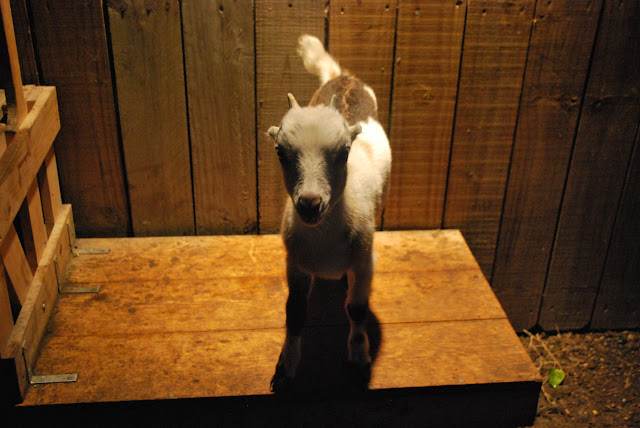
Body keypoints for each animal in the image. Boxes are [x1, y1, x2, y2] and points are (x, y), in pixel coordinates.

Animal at [267, 35, 391, 393]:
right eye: (280, 152)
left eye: (344, 152)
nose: (309, 203)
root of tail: (343, 77)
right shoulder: (295, 263)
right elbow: (294, 312)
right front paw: (285, 368)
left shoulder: (365, 260)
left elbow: (357, 308)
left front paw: (360, 359)